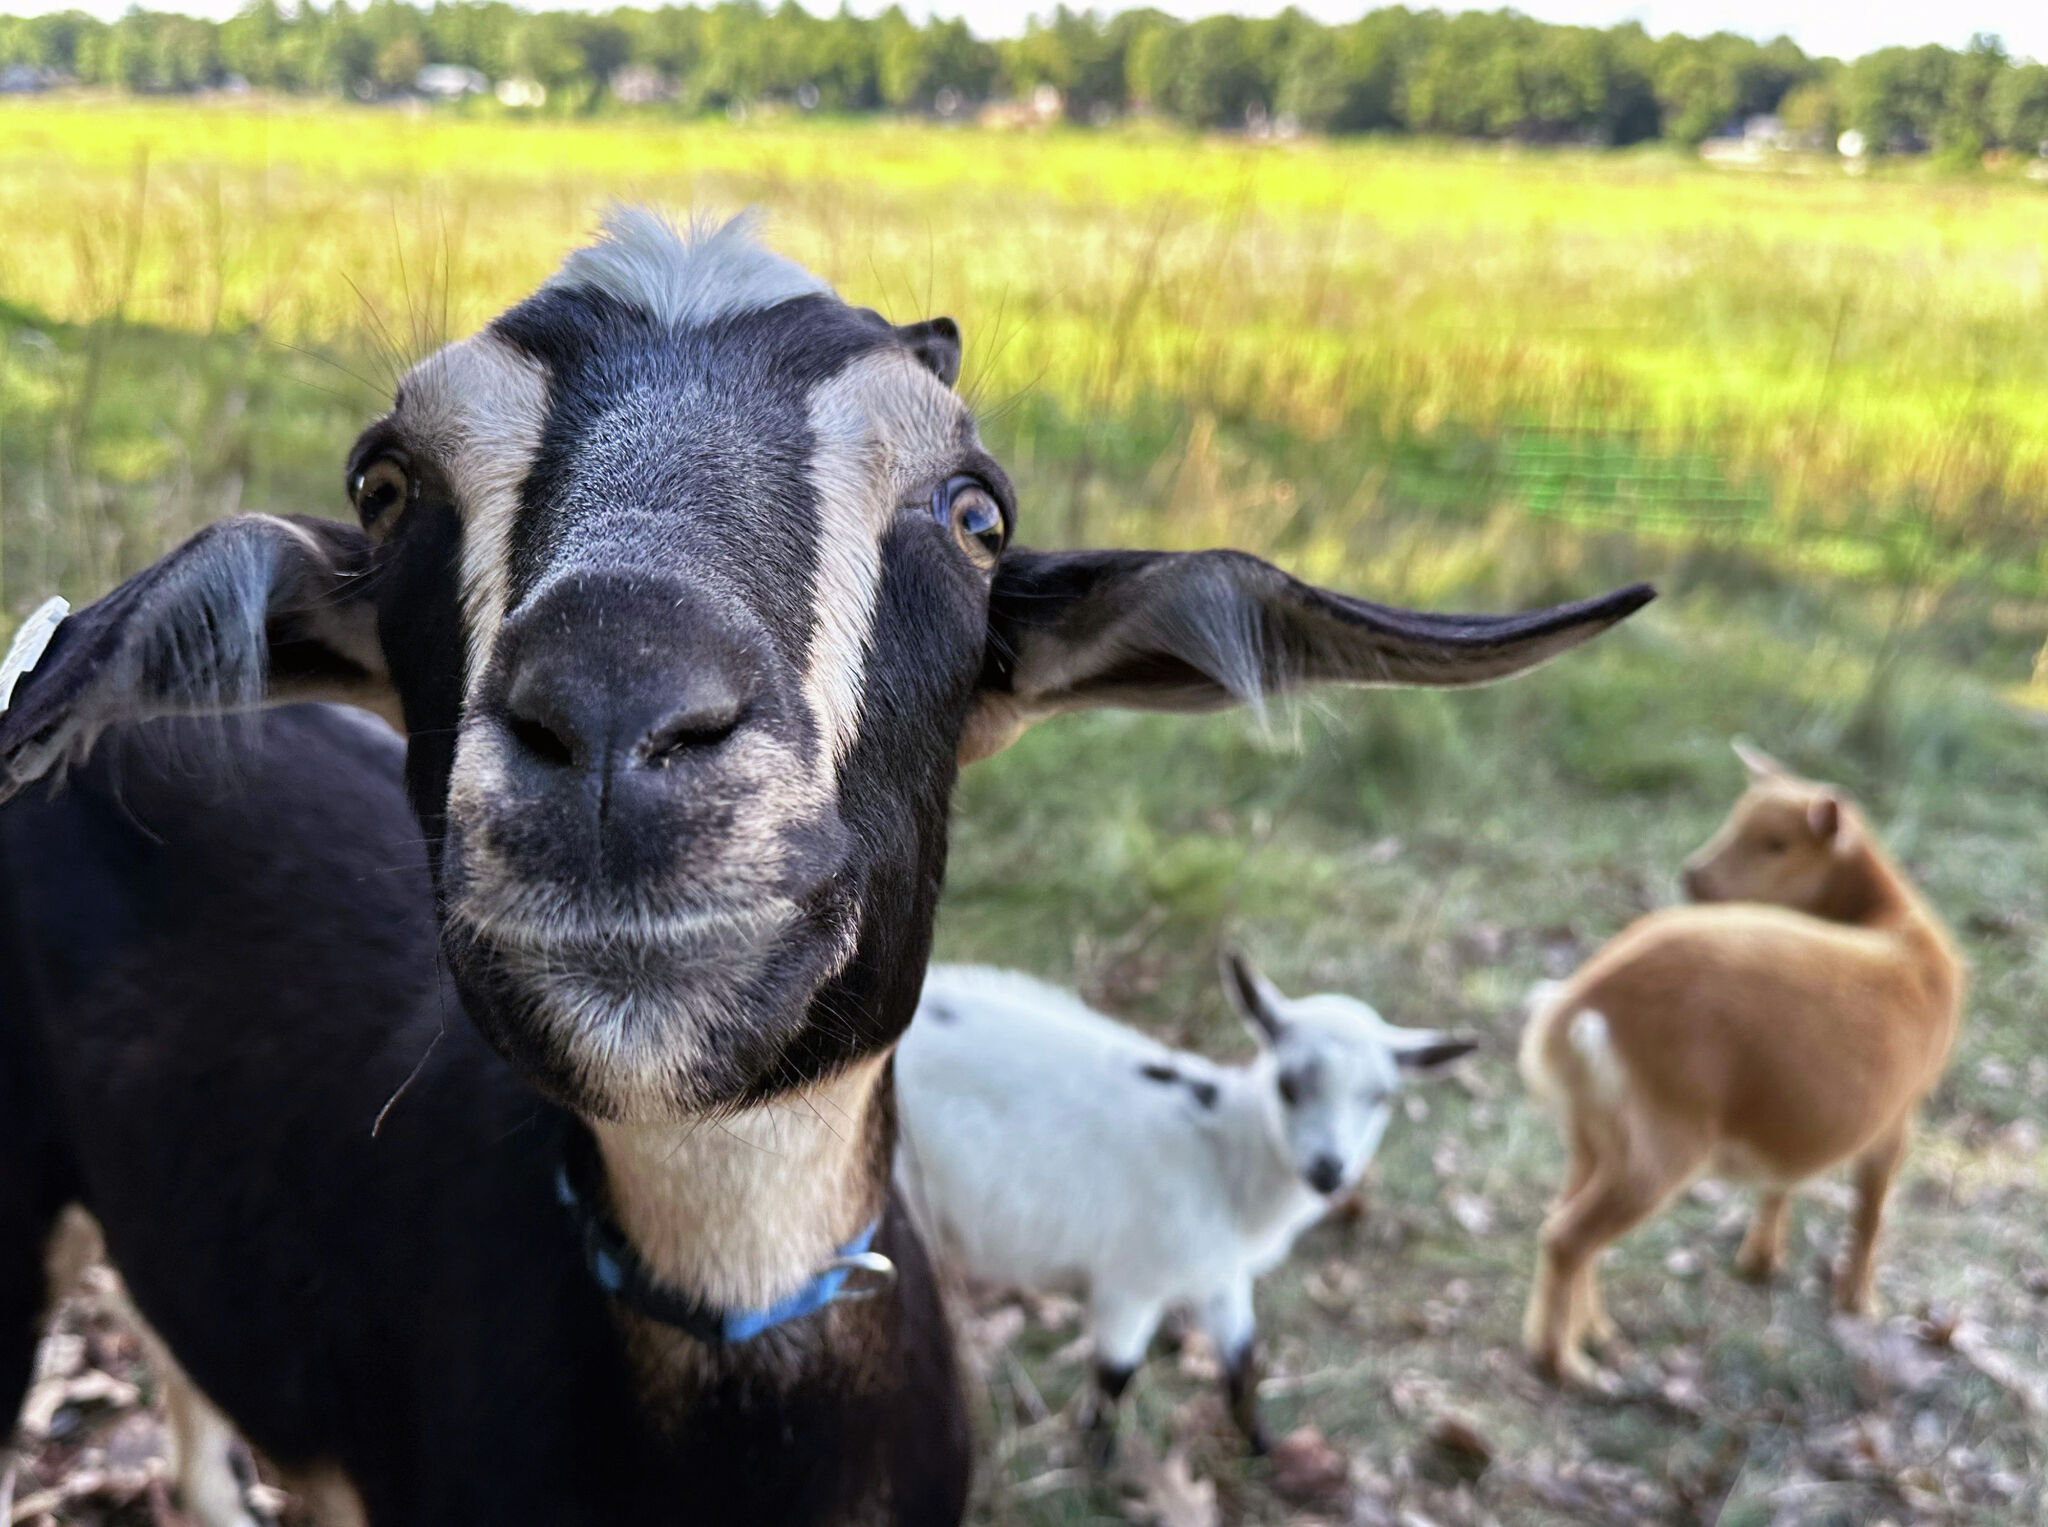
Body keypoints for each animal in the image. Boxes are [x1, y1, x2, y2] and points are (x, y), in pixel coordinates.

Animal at [895, 954, 1475, 1459]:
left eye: (1381, 1097)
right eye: (1287, 1085)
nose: (1328, 1170)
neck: (1223, 1155)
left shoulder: (1219, 1274)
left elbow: (1244, 1363)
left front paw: (1260, 1446)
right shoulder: (1134, 1278)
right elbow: (1116, 1373)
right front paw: (1101, 1455)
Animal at [1518, 741, 1963, 1386]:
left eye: (1775, 842)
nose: (1694, 876)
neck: (1893, 925)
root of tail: (1579, 1006)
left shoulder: (1794, 1112)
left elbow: (1780, 1180)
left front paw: (1759, 1260)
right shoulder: (1901, 1110)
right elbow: (1872, 1203)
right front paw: (1858, 1300)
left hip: (1594, 1127)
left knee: (1562, 1215)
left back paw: (1595, 1334)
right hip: (1664, 1135)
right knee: (1567, 1236)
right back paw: (1566, 1364)